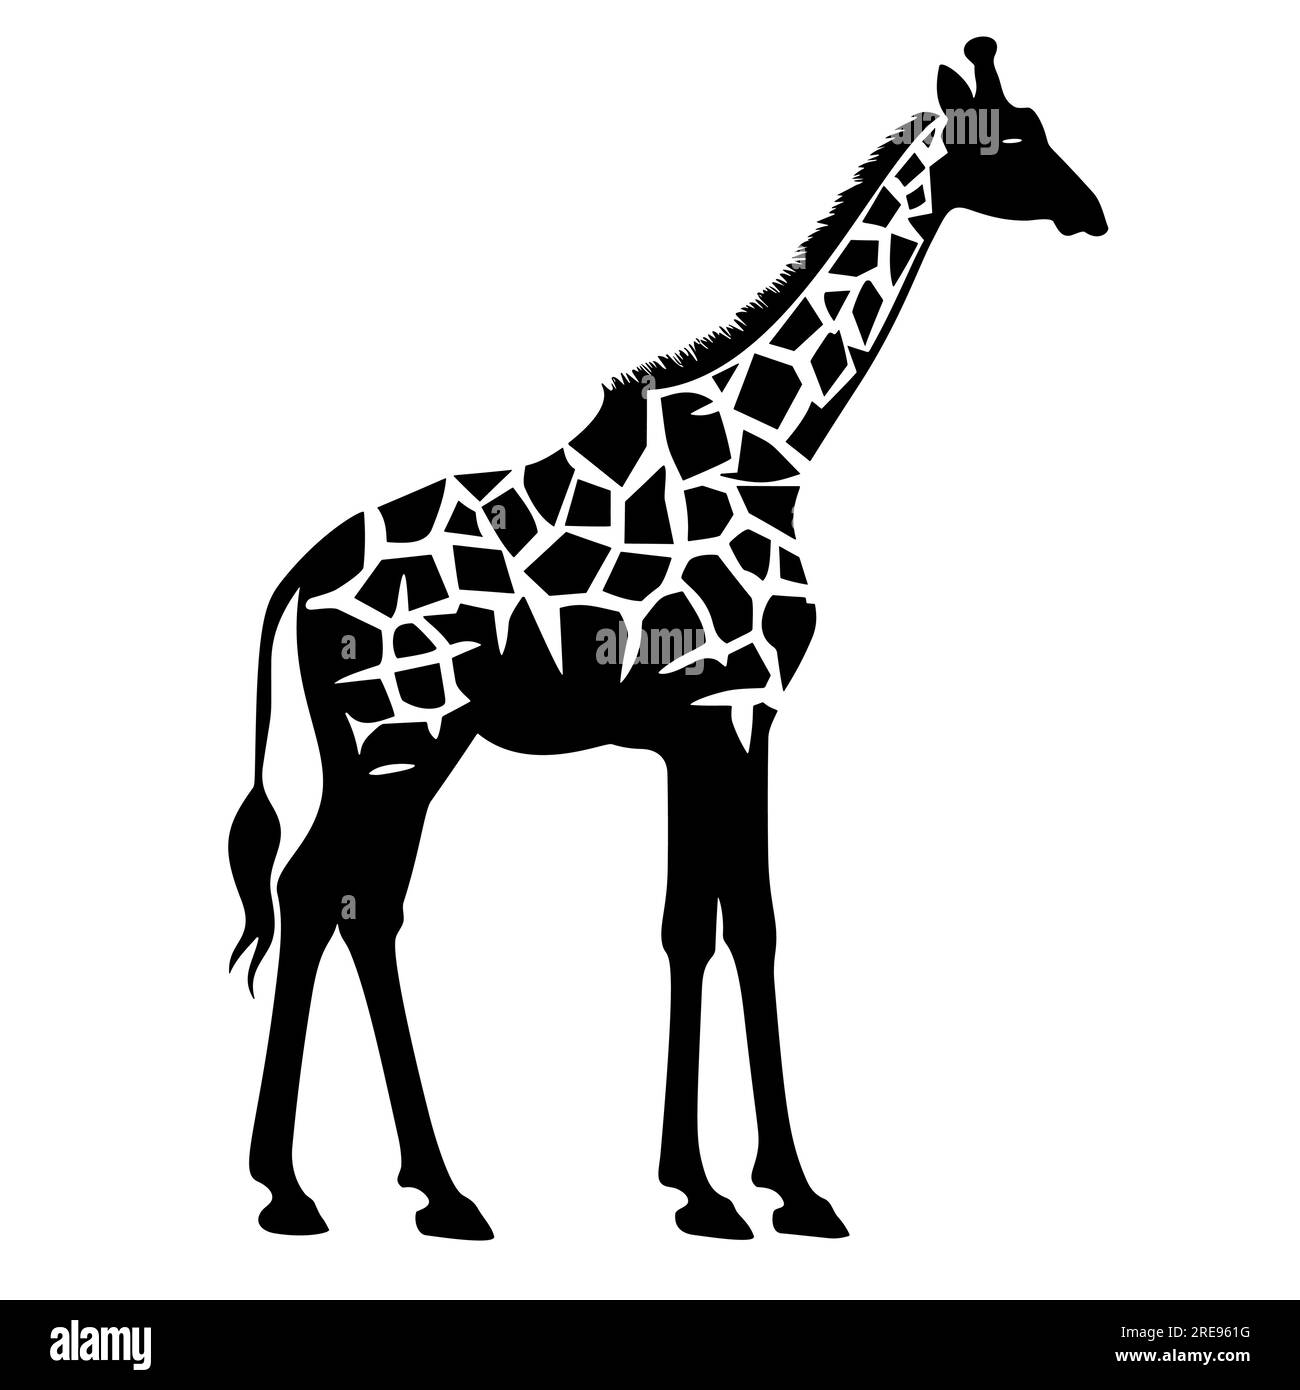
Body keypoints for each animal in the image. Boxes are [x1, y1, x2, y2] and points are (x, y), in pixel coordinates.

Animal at [229, 38, 1106, 1241]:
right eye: (1016, 139)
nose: (1091, 211)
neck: (776, 449)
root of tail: (300, 578)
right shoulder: (738, 712)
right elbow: (746, 923)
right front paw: (775, 1188)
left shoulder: (699, 728)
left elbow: (695, 924)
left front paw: (710, 1185)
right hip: (397, 737)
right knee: (324, 893)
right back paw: (301, 1189)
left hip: (389, 745)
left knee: (357, 905)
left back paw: (425, 1187)